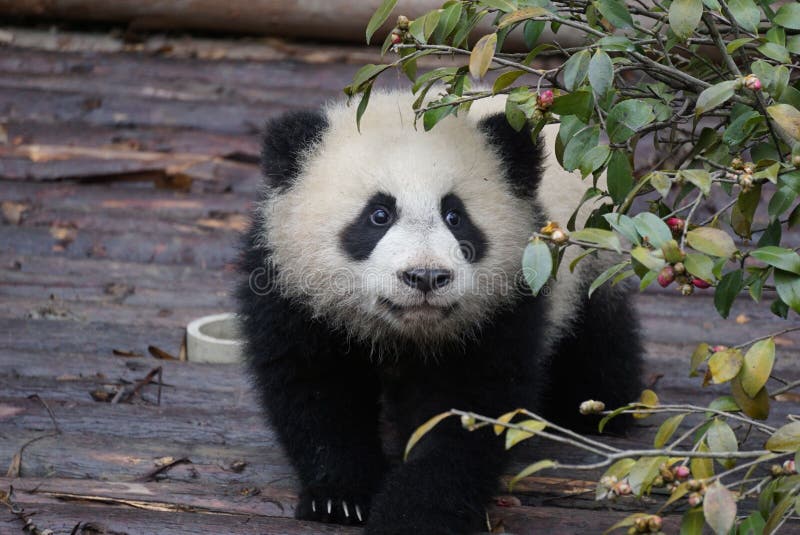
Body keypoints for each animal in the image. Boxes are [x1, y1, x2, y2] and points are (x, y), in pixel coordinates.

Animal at [236, 89, 643, 535]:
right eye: (379, 215)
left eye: (455, 216)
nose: (426, 276)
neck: (406, 331)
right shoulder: (290, 288)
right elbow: (316, 390)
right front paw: (340, 498)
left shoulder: (505, 304)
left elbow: (468, 410)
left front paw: (412, 516)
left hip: (589, 260)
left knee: (598, 344)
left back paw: (598, 410)